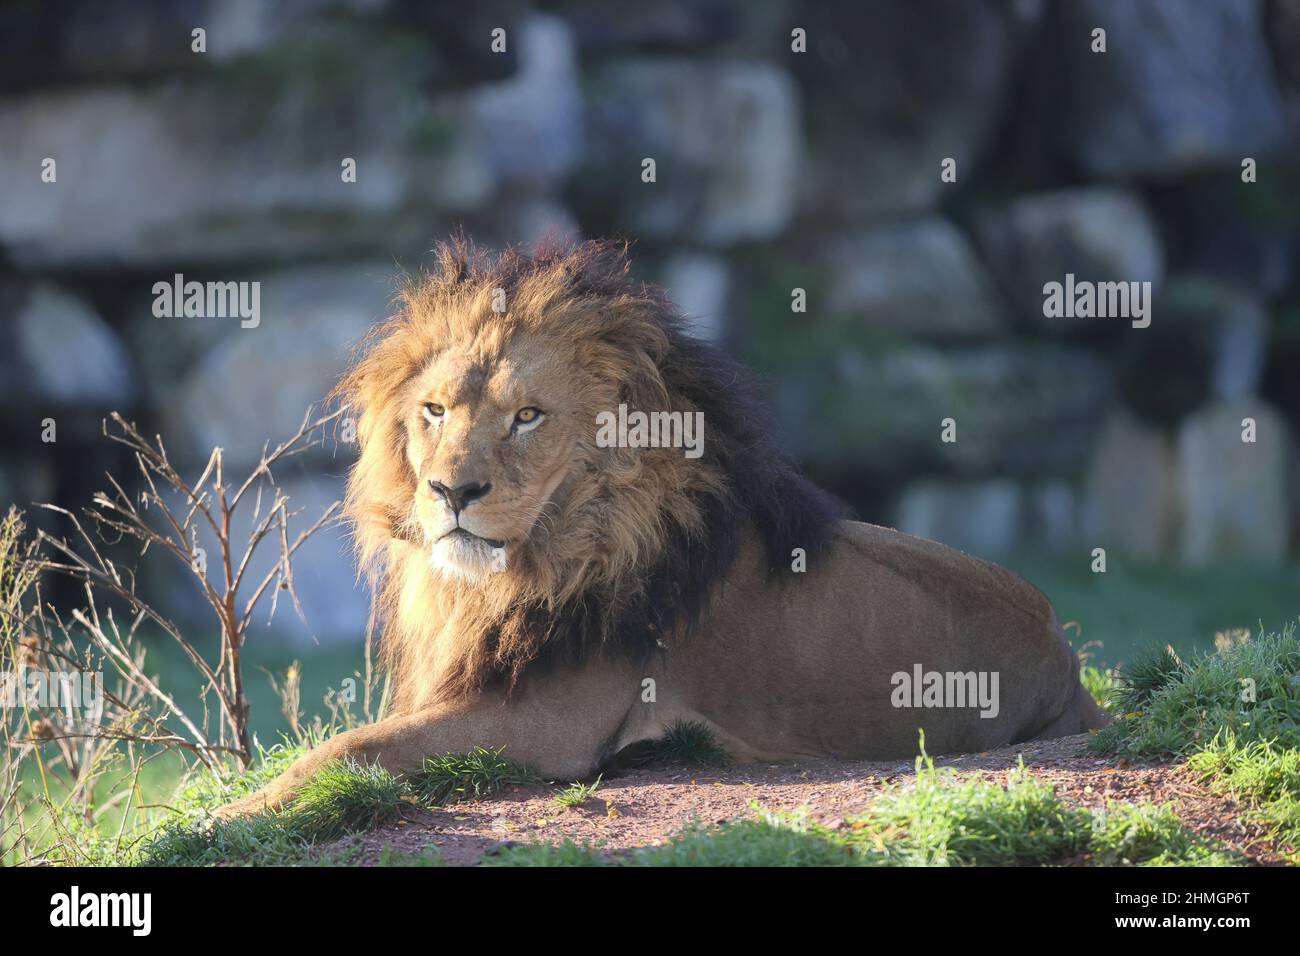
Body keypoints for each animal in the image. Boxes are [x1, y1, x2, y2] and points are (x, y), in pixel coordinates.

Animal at [218, 237, 1105, 818]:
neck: (536, 565)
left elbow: (350, 747)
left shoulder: (541, 723)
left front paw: (226, 817)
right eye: (433, 411)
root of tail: (1068, 663)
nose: (450, 491)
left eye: (528, 417)